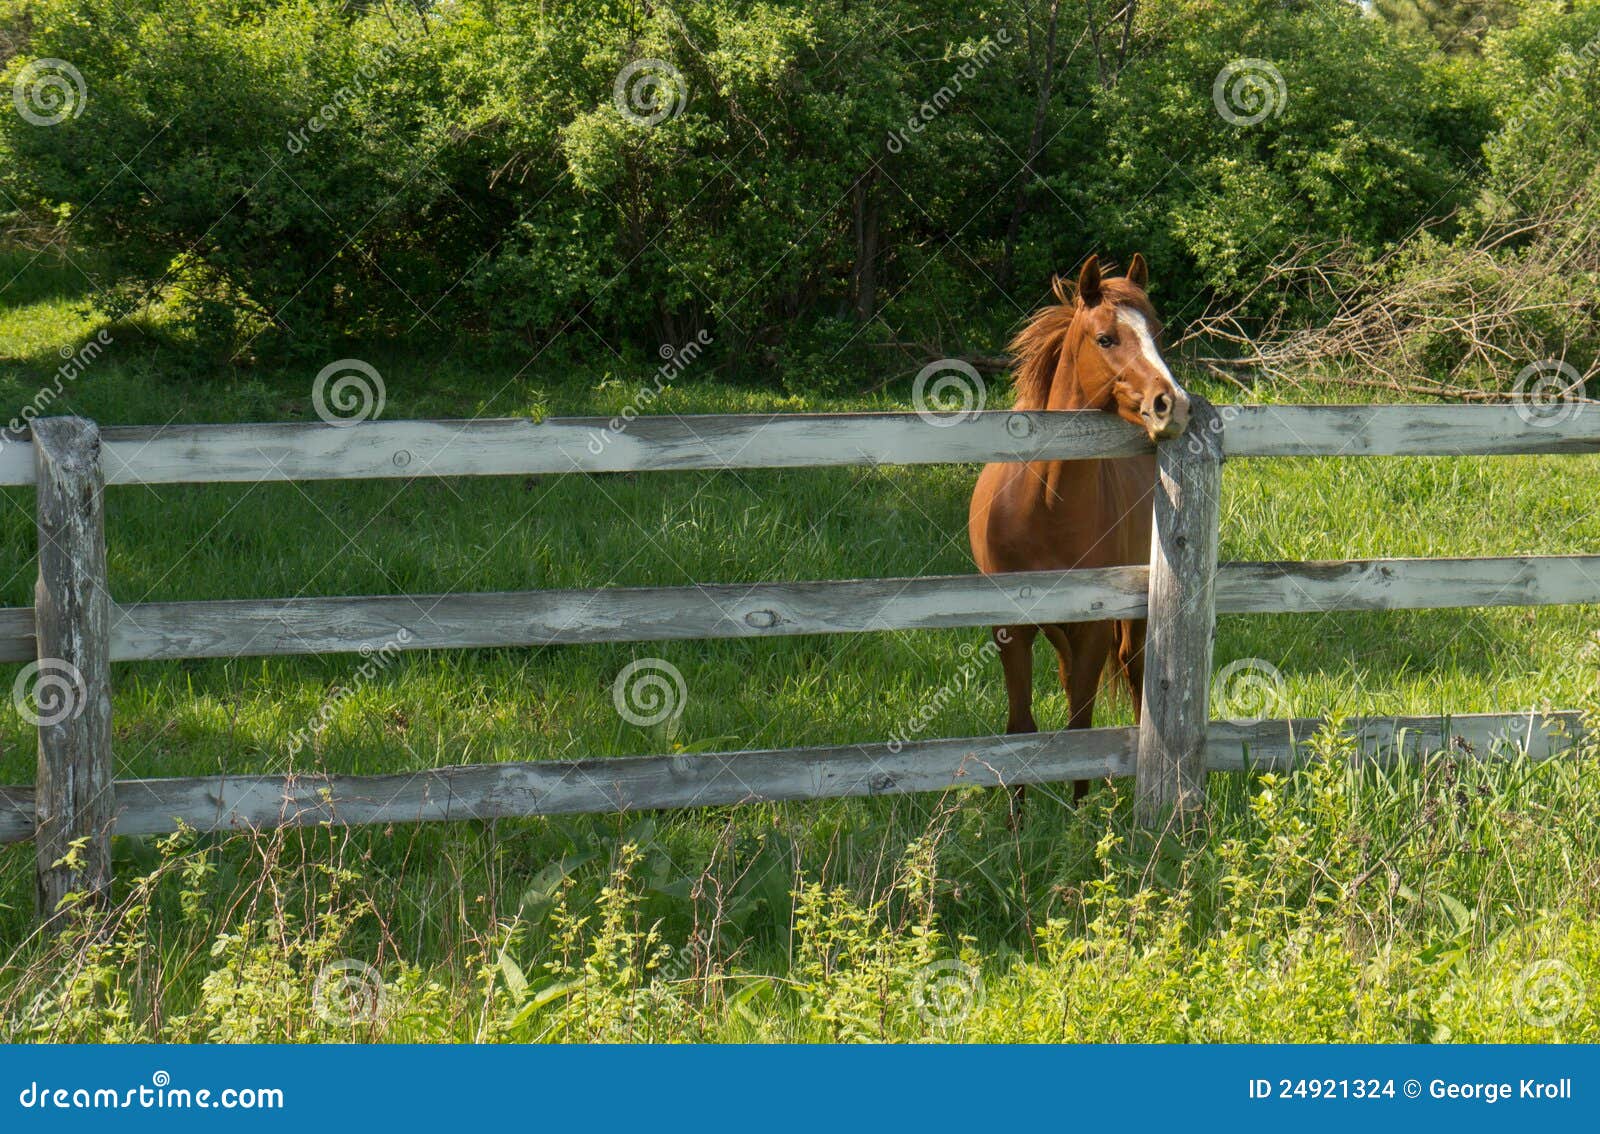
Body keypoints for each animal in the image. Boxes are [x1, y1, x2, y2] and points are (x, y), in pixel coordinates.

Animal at [967, 253, 1191, 811]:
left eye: (1158, 333)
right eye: (1106, 338)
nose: (1173, 404)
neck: (1043, 506)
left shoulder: (1092, 625)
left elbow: (1081, 728)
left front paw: (1080, 818)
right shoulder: (1011, 629)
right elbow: (1021, 727)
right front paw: (1017, 822)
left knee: (1133, 678)